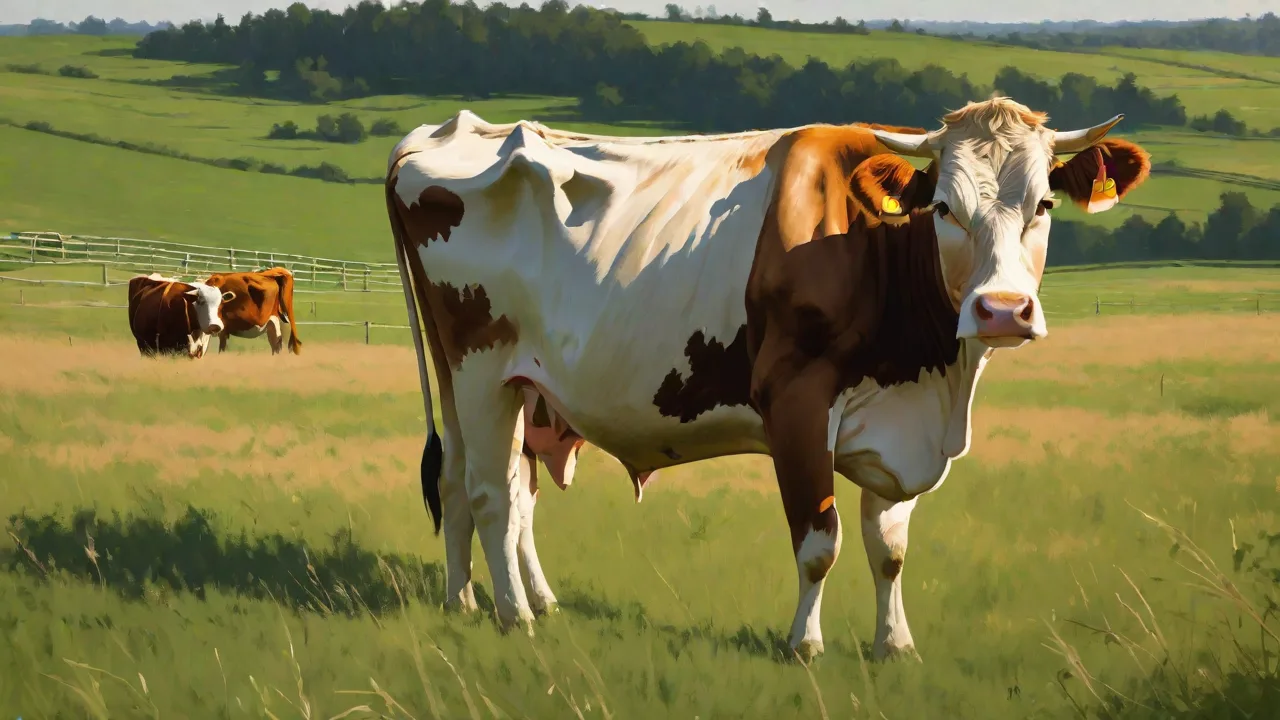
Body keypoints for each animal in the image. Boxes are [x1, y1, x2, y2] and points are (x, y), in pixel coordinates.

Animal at [383, 98, 1151, 661]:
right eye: (944, 209)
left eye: (1044, 206)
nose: (1002, 310)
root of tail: (446, 131)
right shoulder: (797, 401)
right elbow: (819, 541)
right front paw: (803, 645)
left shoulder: (898, 427)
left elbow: (889, 548)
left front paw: (894, 645)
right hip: (483, 368)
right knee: (491, 494)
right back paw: (515, 617)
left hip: (492, 382)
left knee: (473, 484)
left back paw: (473, 602)